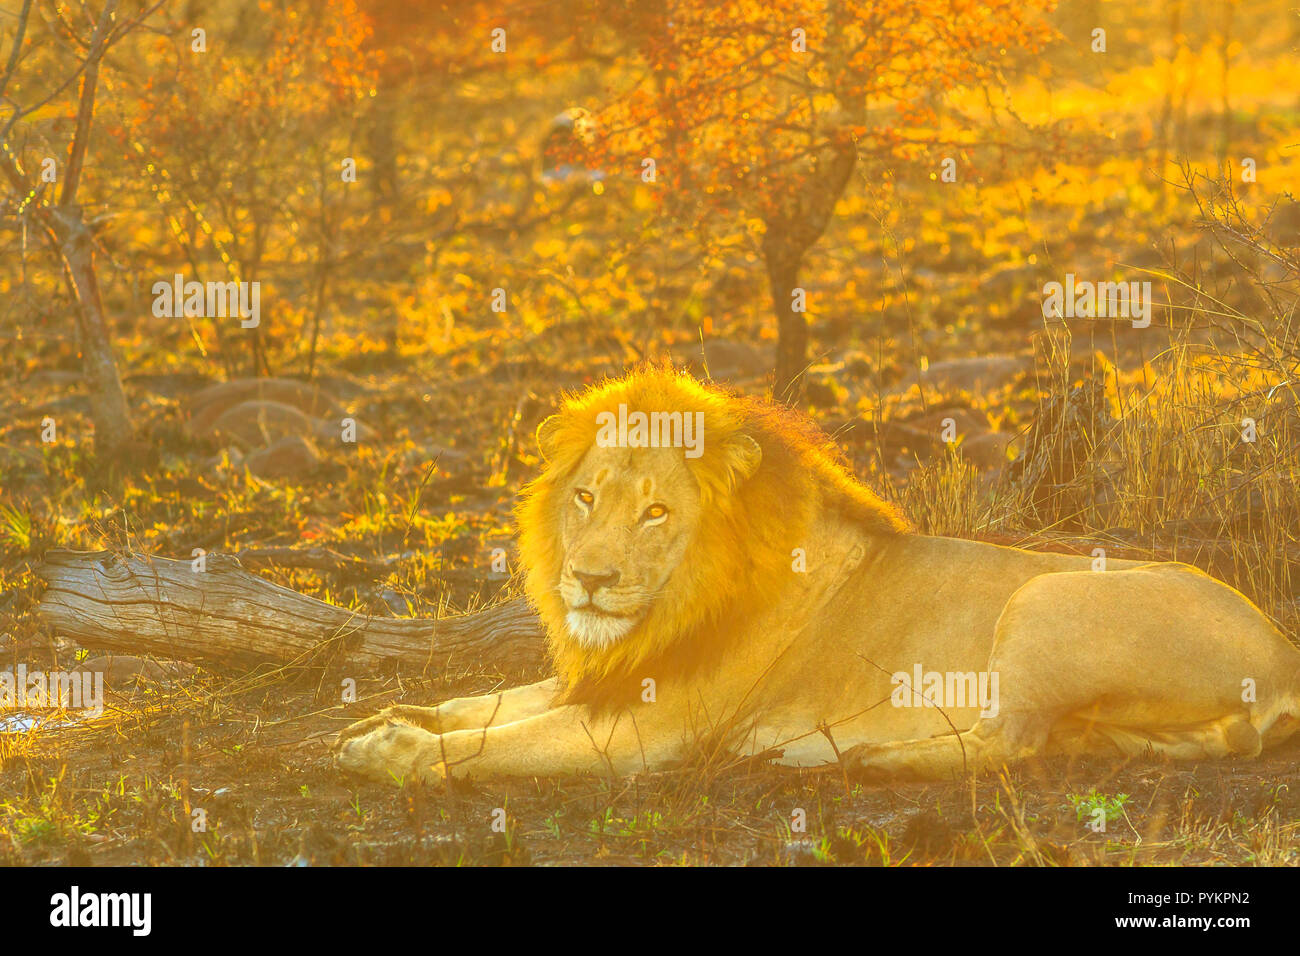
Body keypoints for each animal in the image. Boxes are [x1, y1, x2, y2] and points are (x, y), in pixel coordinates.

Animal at [334, 368, 1300, 784]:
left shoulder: (648, 731)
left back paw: (852, 756)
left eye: (657, 513)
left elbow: (497, 743)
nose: (588, 581)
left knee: (1010, 742)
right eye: (585, 496)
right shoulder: (611, 679)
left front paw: (392, 749)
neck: (672, 609)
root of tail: (1282, 657)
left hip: (1044, 597)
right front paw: (393, 716)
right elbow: (491, 703)